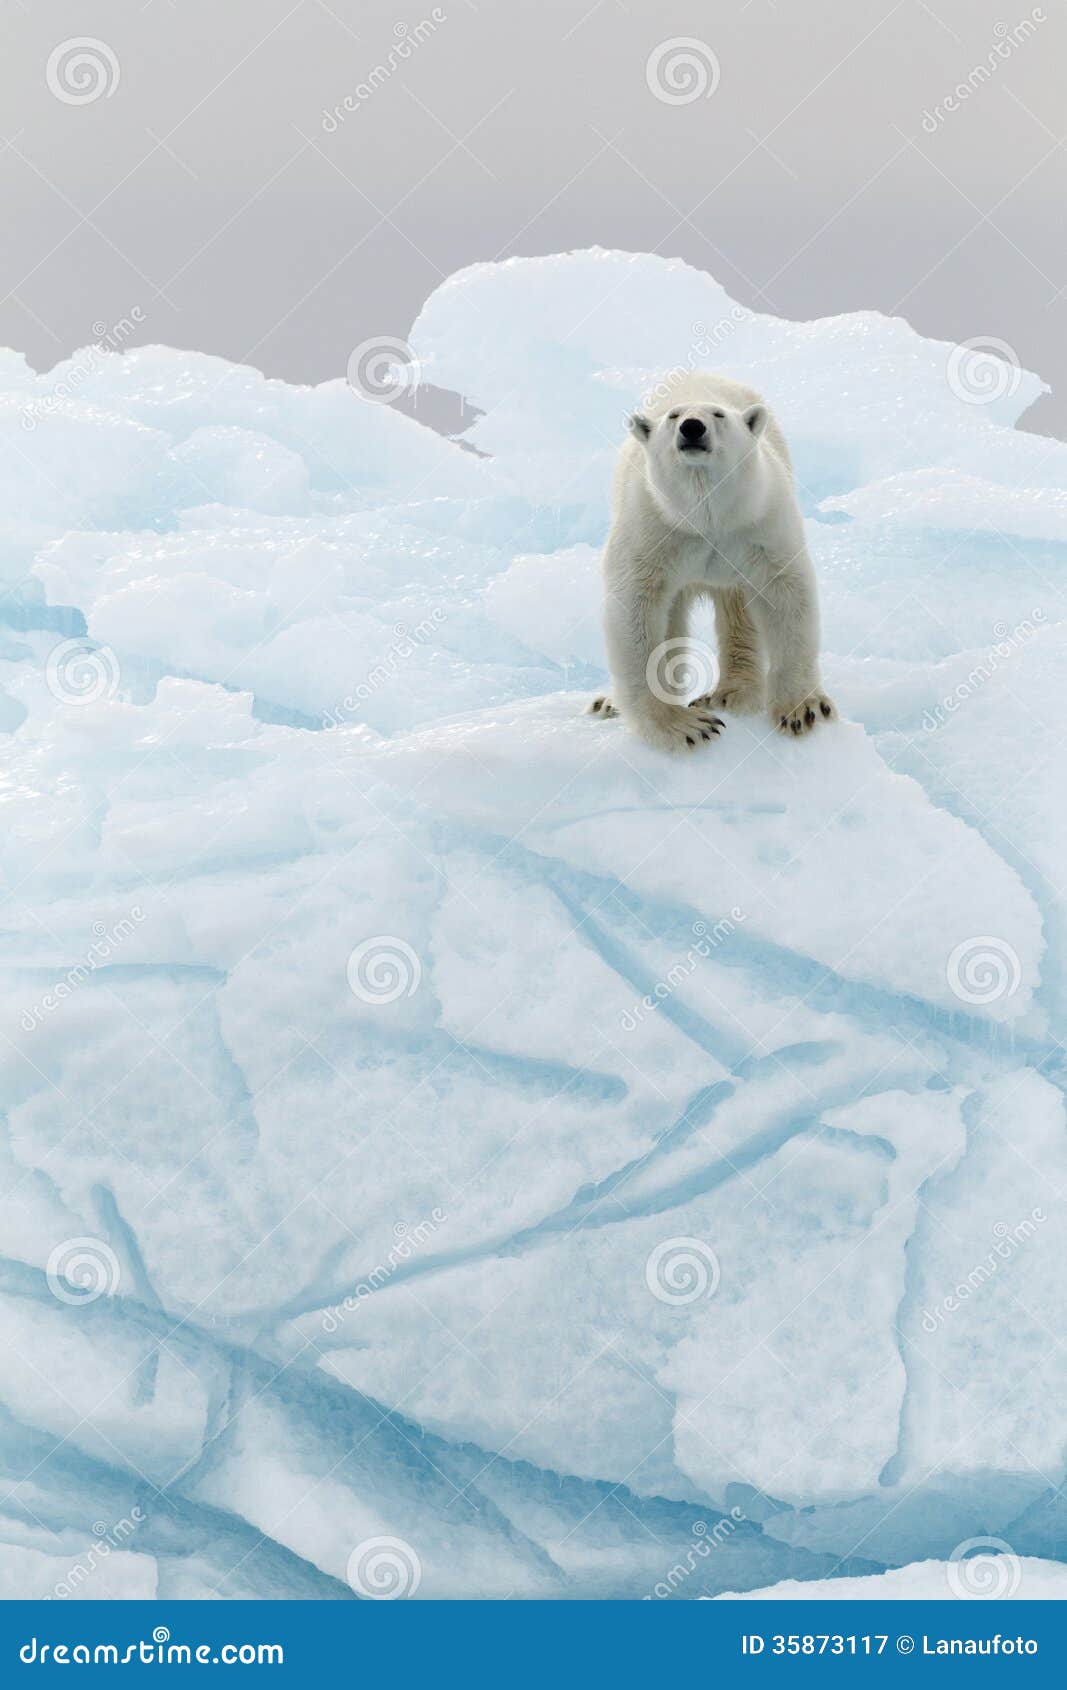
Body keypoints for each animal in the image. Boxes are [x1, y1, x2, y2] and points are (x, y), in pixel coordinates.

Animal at [589, 372, 835, 753]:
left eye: (719, 414)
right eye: (673, 416)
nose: (692, 427)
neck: (705, 517)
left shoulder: (759, 522)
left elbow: (786, 595)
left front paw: (802, 709)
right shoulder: (653, 530)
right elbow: (637, 613)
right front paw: (686, 727)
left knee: (738, 609)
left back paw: (733, 693)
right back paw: (608, 702)